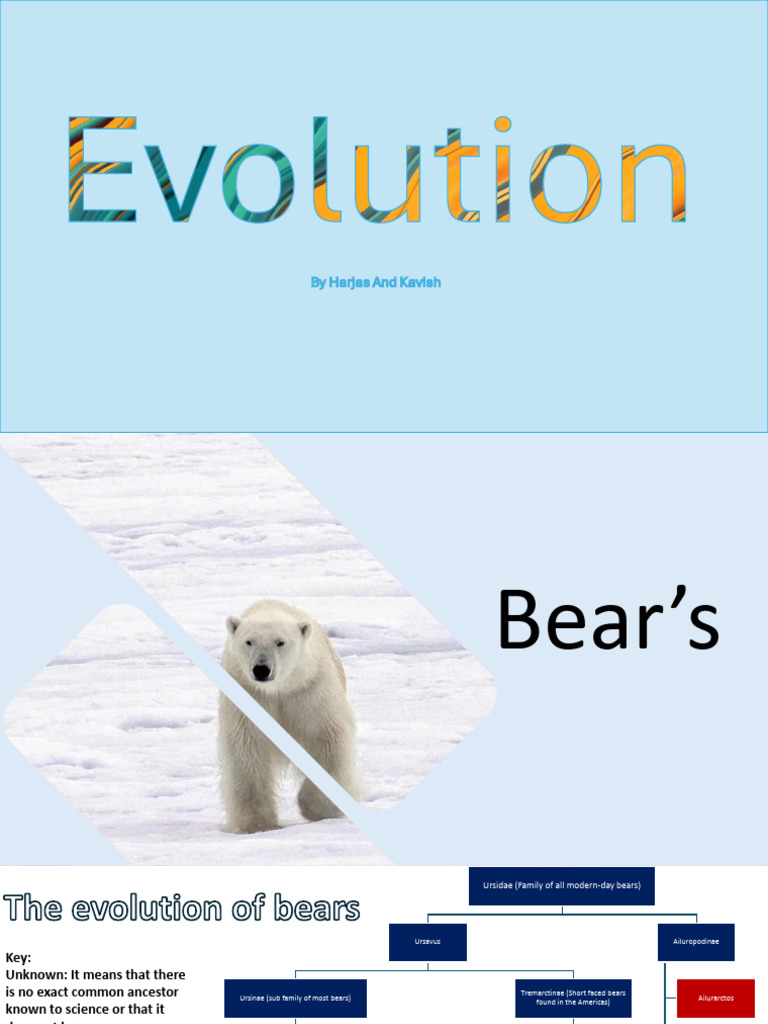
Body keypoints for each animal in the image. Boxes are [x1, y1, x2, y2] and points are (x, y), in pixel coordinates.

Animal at [219, 599, 361, 833]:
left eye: (280, 642)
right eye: (249, 641)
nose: (261, 669)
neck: (279, 689)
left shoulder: (310, 690)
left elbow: (326, 738)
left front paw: (318, 808)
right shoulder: (248, 693)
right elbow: (248, 747)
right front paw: (256, 823)